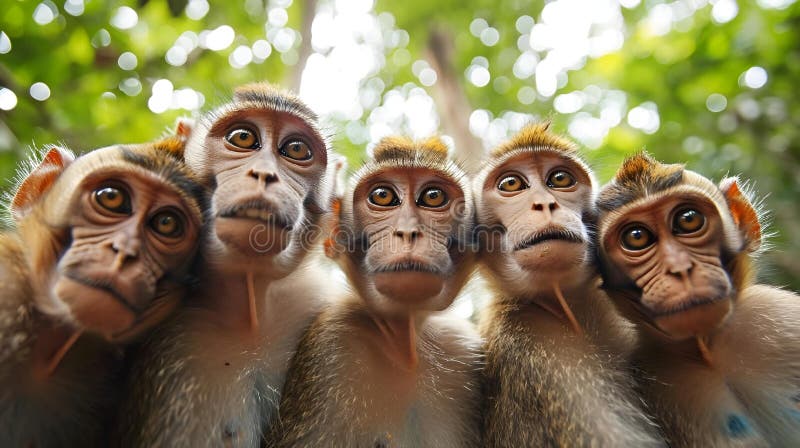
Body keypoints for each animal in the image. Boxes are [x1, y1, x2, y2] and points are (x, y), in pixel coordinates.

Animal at [266, 136, 483, 447]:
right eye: (382, 196)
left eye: (433, 197)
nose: (408, 232)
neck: (404, 347)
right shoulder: (333, 345)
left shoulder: (460, 347)